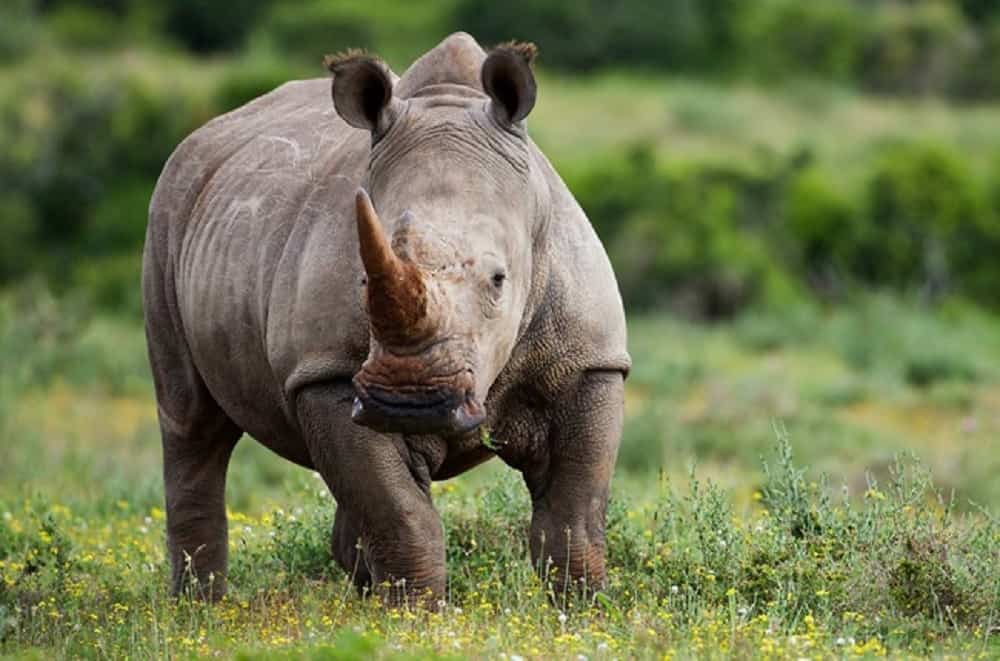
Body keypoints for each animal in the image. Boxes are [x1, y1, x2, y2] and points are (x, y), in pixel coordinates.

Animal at [143, 32, 630, 605]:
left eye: (499, 279)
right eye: (361, 282)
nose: (411, 402)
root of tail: (203, 137)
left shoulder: (590, 360)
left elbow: (574, 512)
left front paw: (579, 610)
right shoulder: (326, 374)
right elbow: (398, 514)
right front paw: (416, 615)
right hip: (166, 215)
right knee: (192, 424)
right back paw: (202, 612)